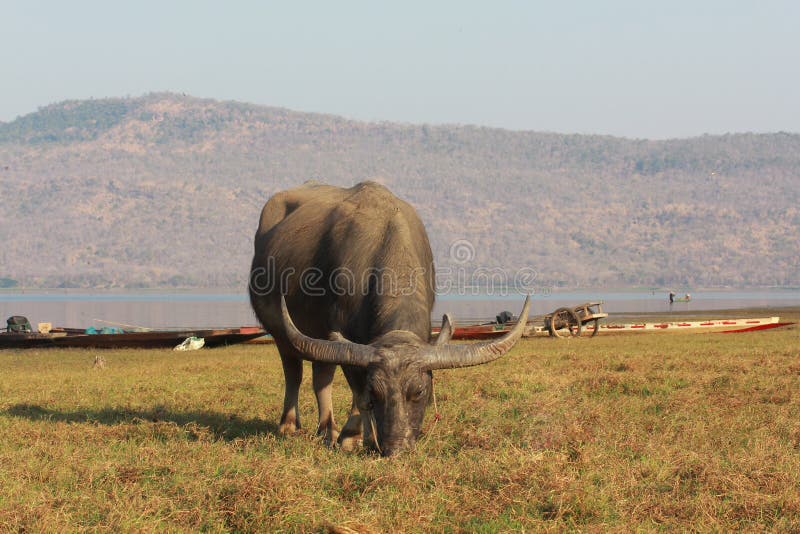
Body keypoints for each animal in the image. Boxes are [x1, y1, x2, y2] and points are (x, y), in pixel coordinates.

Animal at [249, 181, 529, 456]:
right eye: (376, 392)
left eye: (419, 391)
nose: (395, 448)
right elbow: (358, 393)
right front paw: (352, 437)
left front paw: (351, 436)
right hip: (281, 333)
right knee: (293, 372)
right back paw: (290, 425)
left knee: (321, 378)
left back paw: (327, 430)